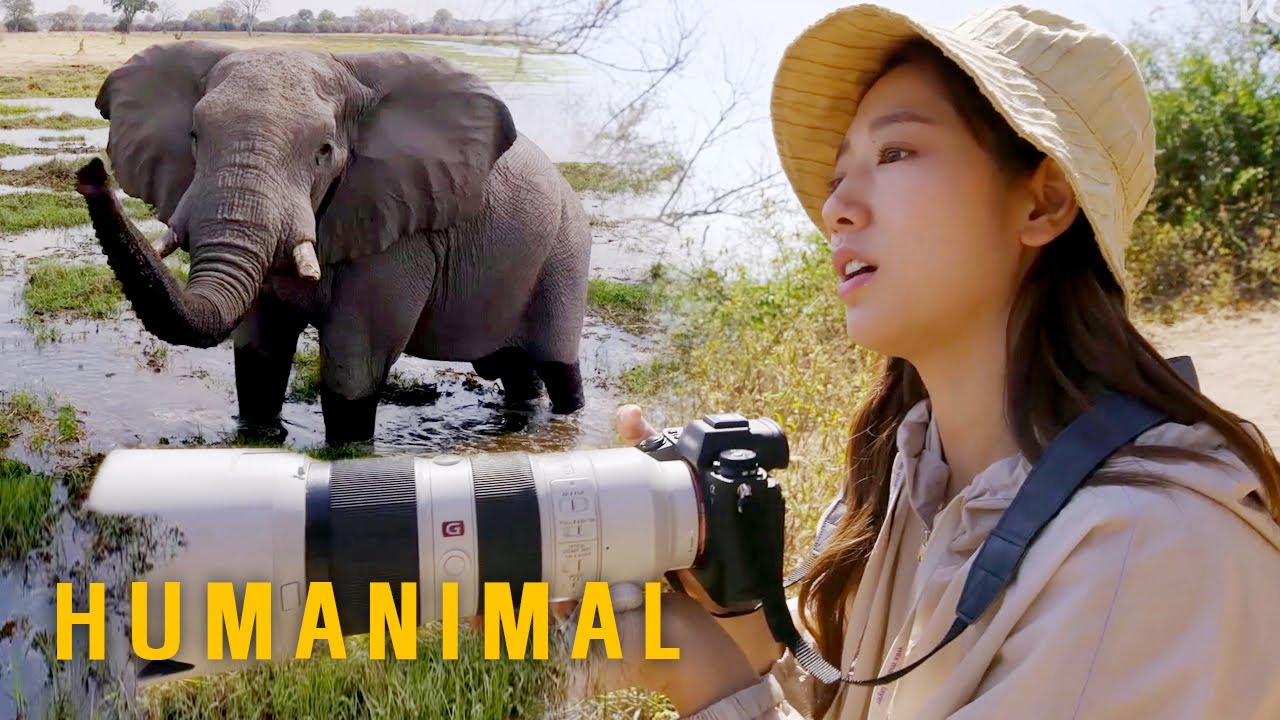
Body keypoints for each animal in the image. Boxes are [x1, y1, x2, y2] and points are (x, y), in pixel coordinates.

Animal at [75, 41, 592, 446]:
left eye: (324, 151)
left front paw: (348, 450)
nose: (90, 173)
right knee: (516, 370)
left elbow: (356, 360)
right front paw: (259, 436)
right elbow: (260, 351)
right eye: (194, 136)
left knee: (558, 369)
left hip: (566, 257)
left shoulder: (399, 233)